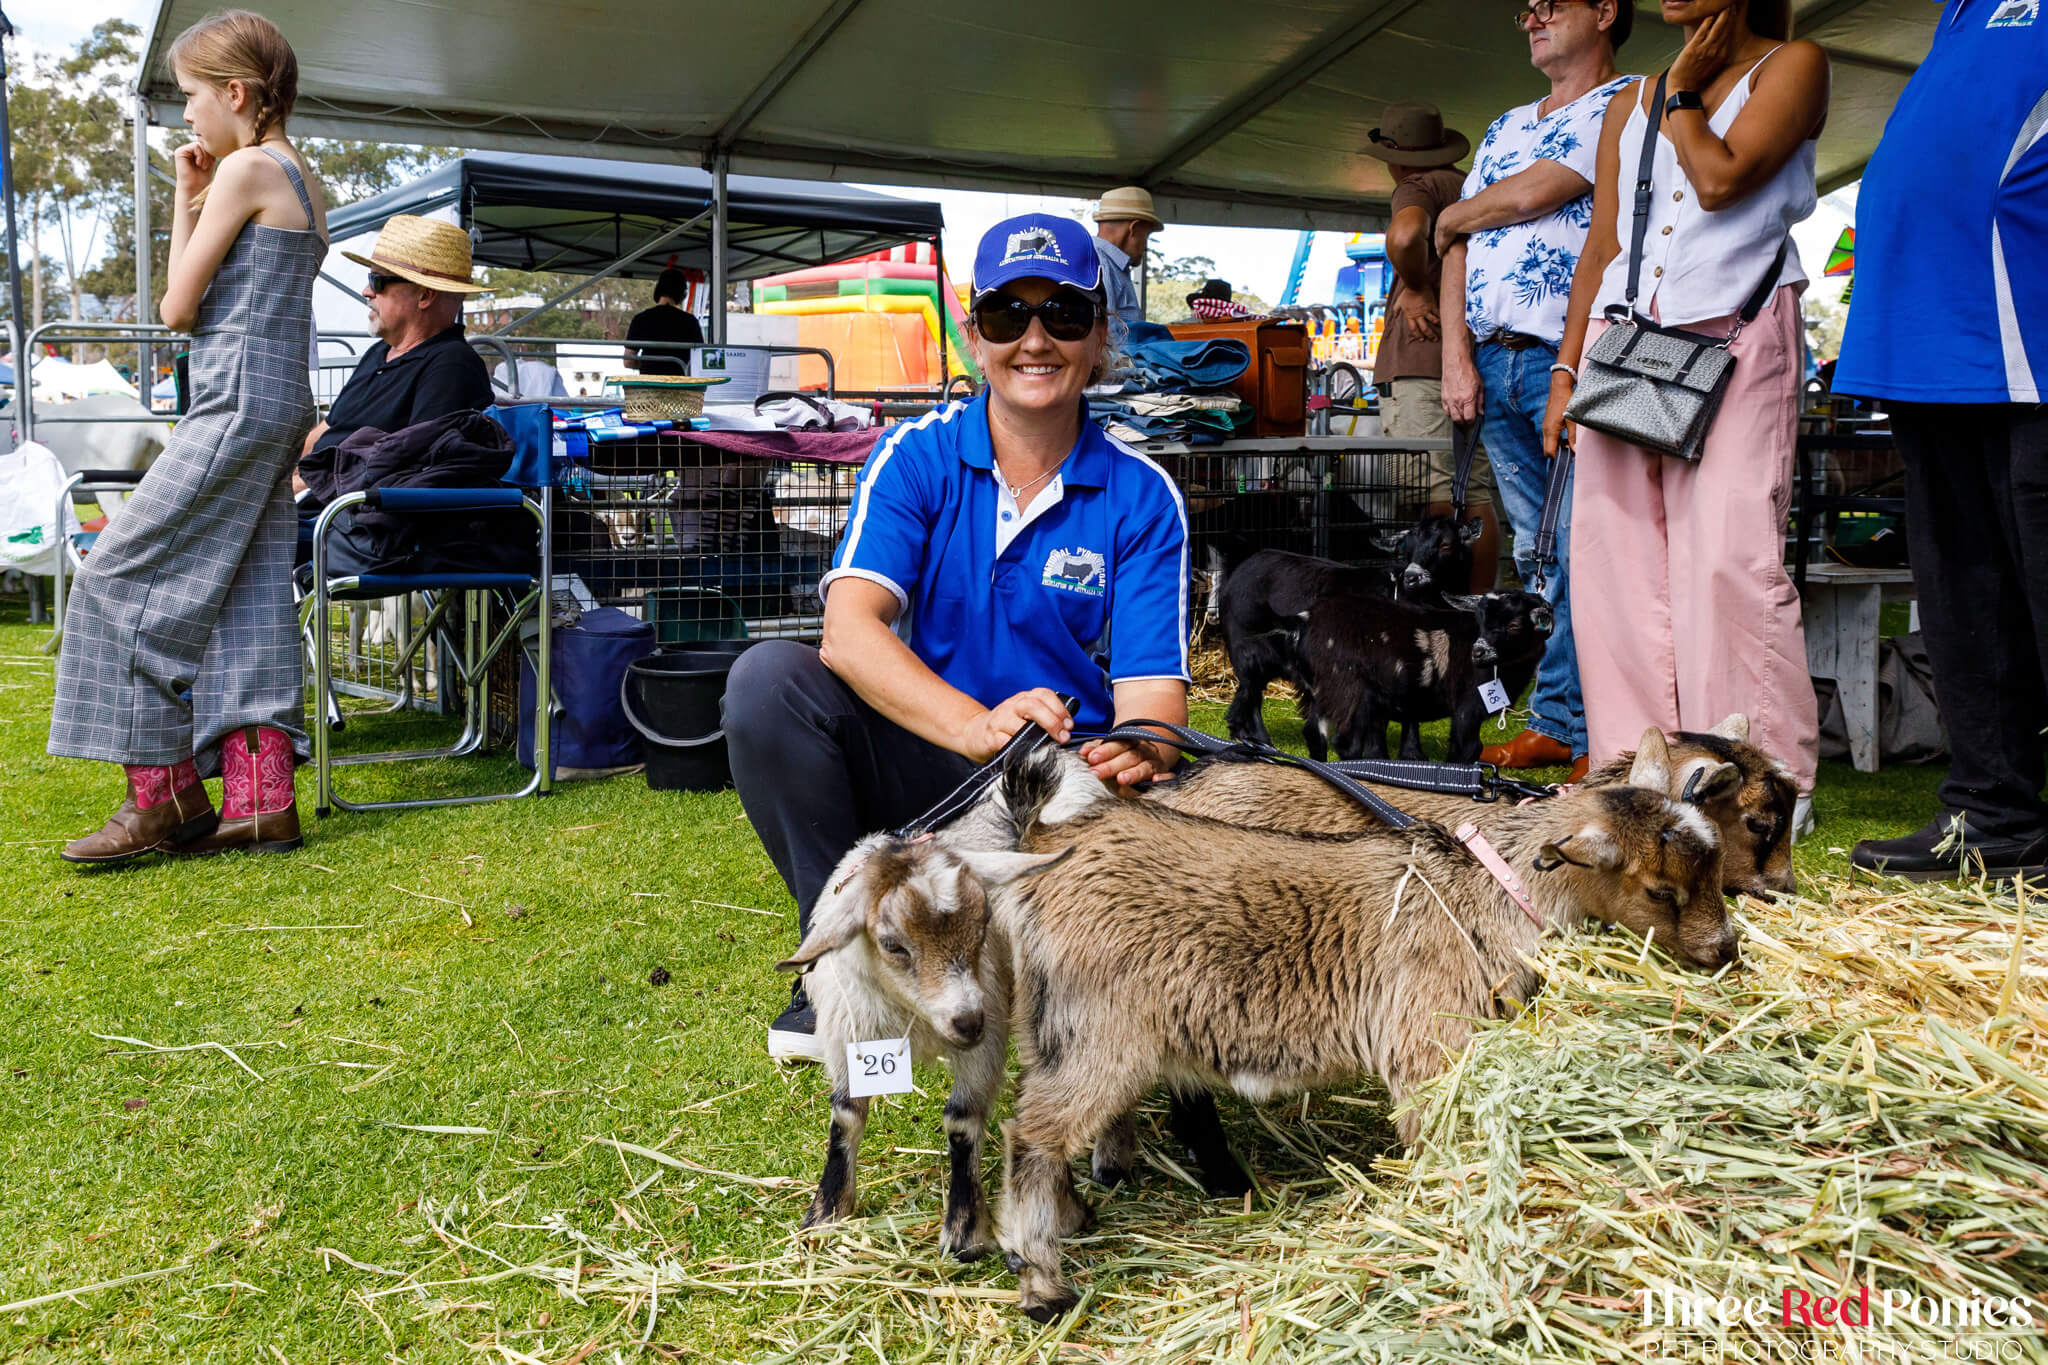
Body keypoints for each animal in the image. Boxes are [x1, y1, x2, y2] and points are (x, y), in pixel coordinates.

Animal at [981, 735, 1730, 1320]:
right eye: (1661, 890)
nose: (1725, 950)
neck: (1486, 887)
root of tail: (1042, 842)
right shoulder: (1426, 1039)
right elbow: (1431, 1135)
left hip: (1056, 1030)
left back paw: (1078, 1215)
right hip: (1101, 1034)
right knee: (1033, 1134)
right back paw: (1043, 1284)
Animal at [1296, 588, 1551, 762]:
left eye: (1515, 625)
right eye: (1480, 620)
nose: (1477, 652)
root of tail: (1310, 620)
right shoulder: (1468, 706)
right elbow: (1467, 750)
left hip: (1326, 691)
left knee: (1314, 734)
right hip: (1349, 689)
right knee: (1346, 743)